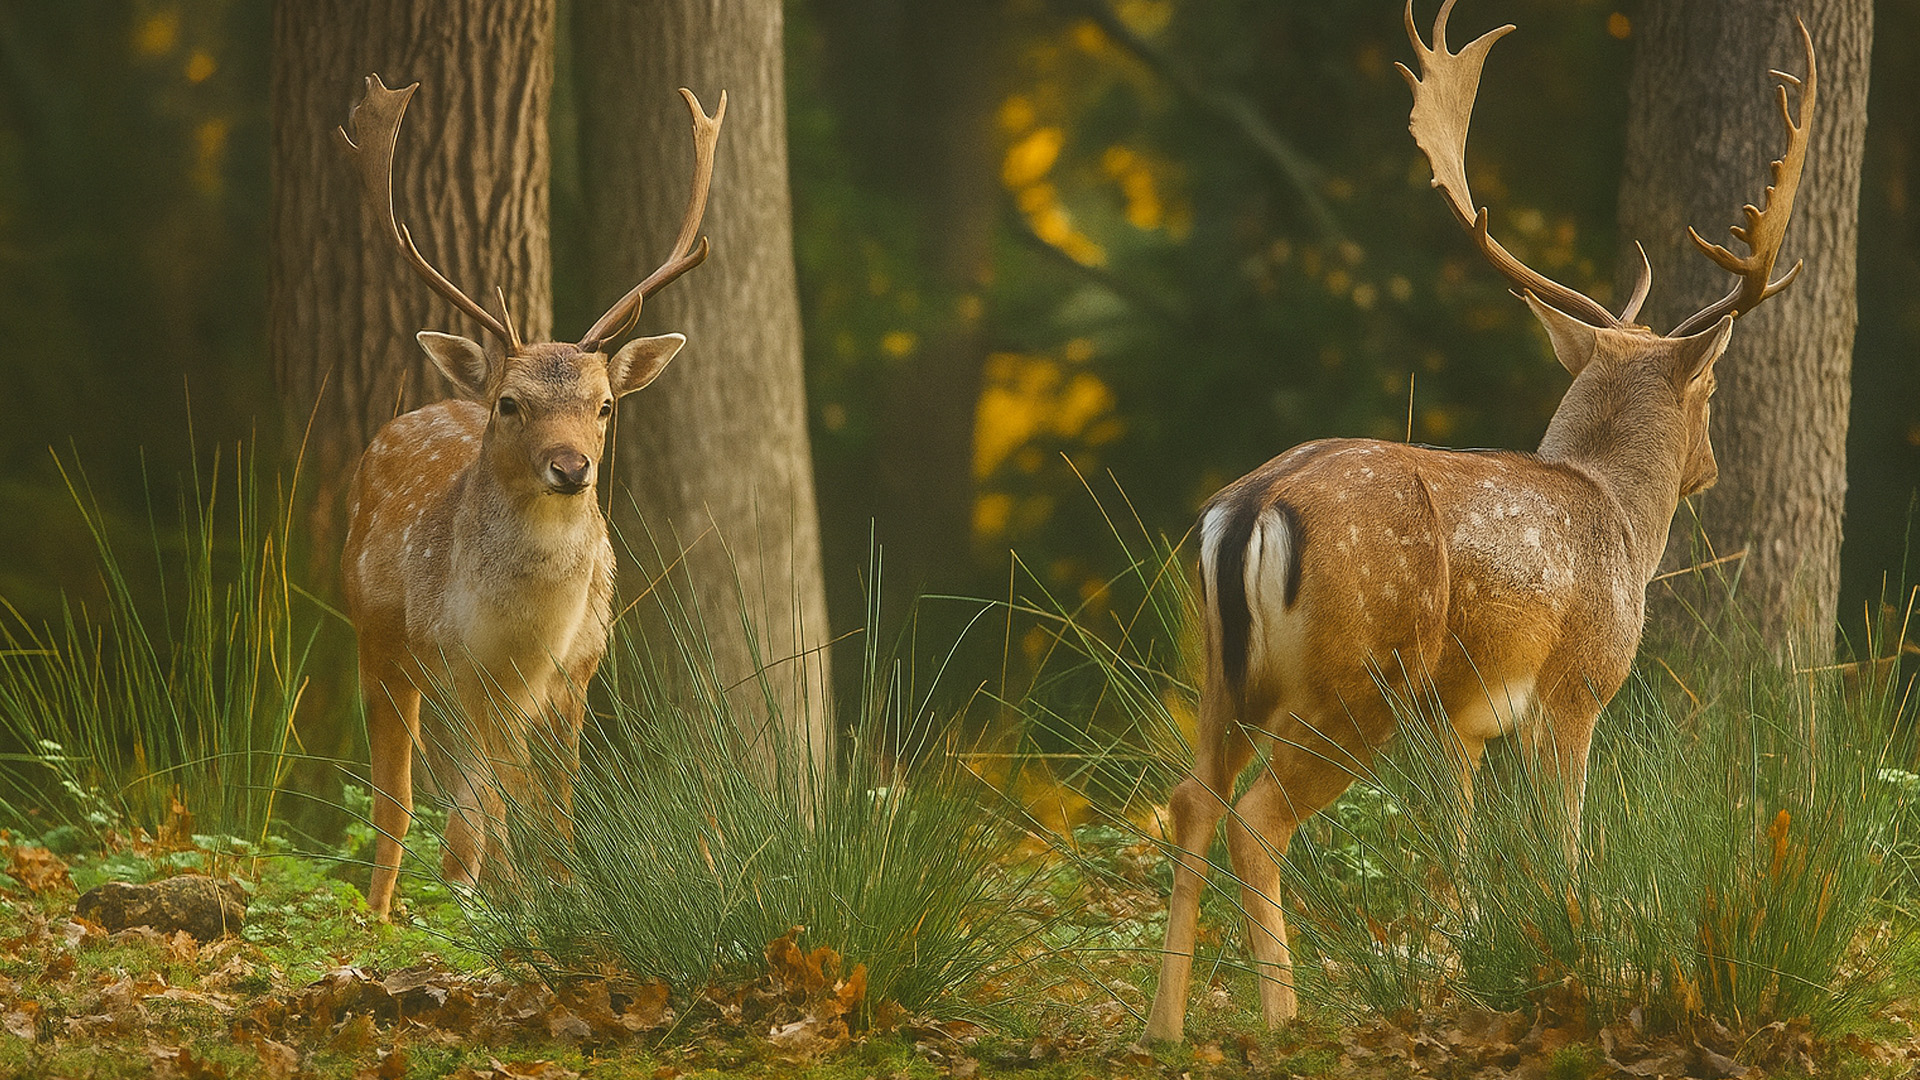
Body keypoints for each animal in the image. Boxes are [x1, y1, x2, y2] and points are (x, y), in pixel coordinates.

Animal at [336, 74, 725, 920]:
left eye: (605, 405)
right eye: (511, 403)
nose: (571, 466)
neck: (524, 635)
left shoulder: (576, 669)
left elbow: (554, 806)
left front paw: (560, 895)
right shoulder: (459, 663)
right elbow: (483, 801)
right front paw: (498, 896)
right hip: (377, 639)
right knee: (401, 798)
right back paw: (385, 911)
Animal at [1144, 0, 1816, 1042]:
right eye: (1707, 392)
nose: (1709, 467)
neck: (1623, 523)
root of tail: (1251, 505)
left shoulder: (1456, 720)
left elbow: (1455, 853)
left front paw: (1461, 966)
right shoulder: (1575, 689)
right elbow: (1563, 844)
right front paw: (1572, 961)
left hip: (1224, 674)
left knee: (1191, 800)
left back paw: (1164, 1026)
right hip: (1360, 678)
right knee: (1258, 821)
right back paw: (1283, 1018)